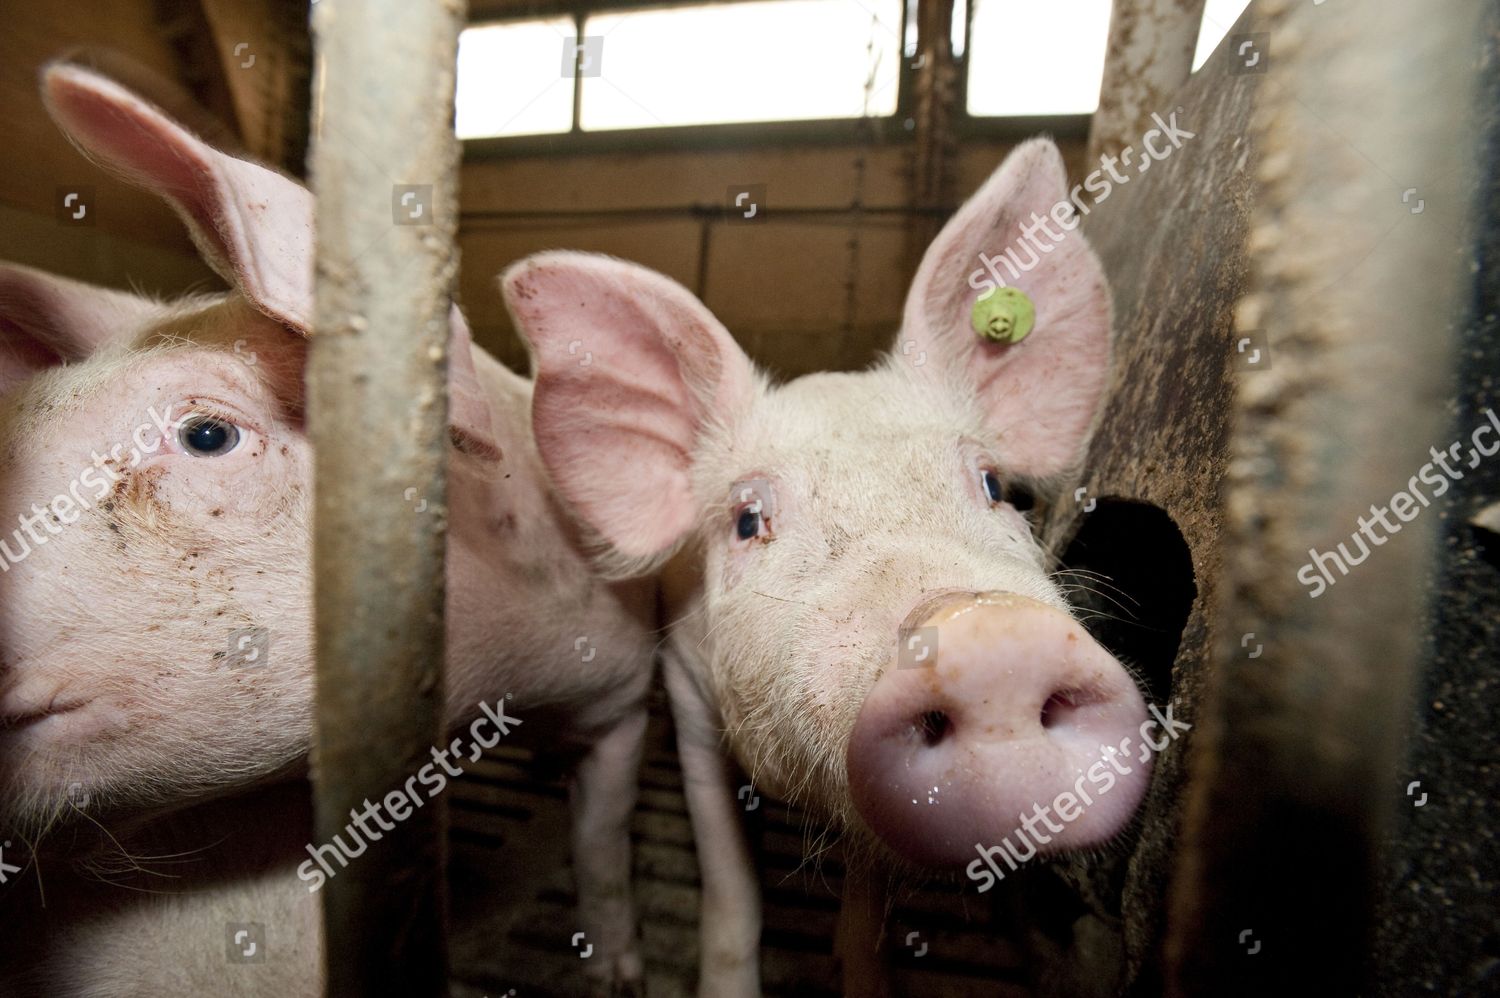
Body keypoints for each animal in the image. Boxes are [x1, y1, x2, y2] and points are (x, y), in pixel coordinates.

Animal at [501, 138, 1154, 996]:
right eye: (748, 520)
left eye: (991, 485)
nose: (991, 639)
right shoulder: (687, 696)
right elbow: (730, 887)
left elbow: (869, 889)